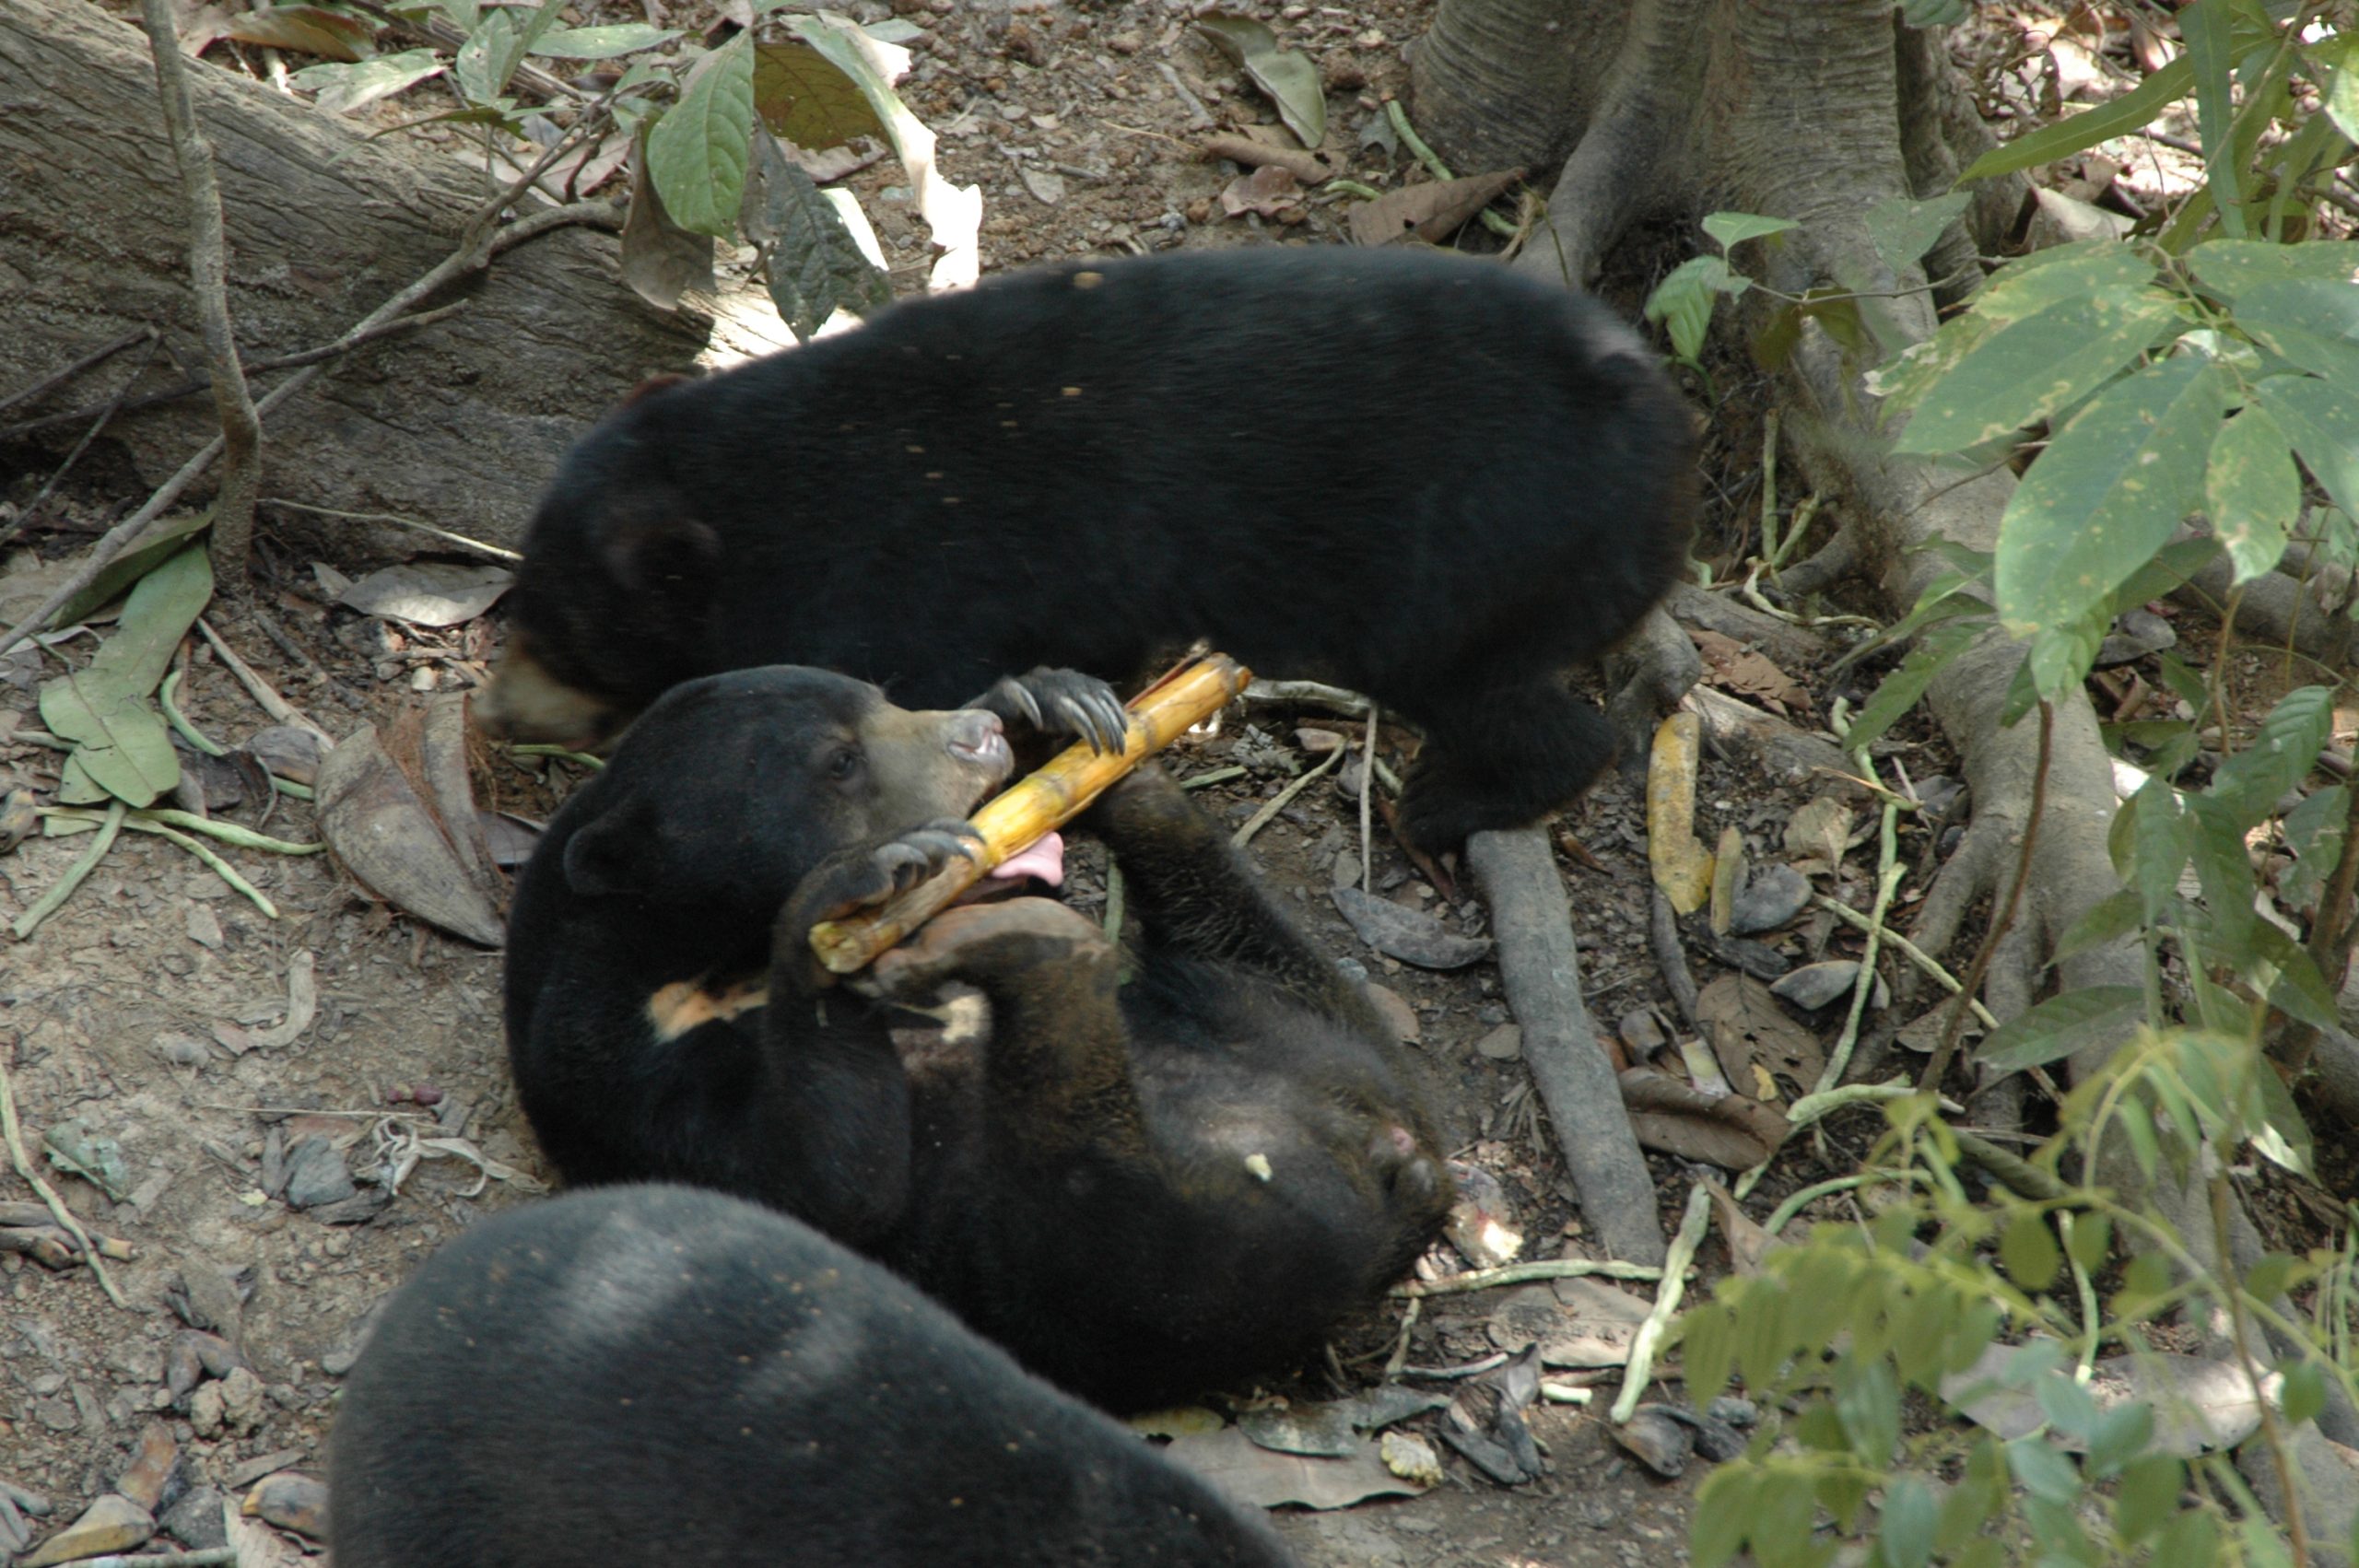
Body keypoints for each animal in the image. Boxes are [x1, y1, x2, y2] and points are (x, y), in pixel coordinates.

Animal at [473, 245, 1695, 852]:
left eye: (561, 634)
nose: (489, 714)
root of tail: (1662, 434)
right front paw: (1072, 697)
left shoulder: (898, 565)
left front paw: (1040, 698)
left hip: (1478, 557)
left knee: (1496, 697)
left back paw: (1450, 802)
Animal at [502, 664, 1454, 1413]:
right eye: (841, 764)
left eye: (883, 695)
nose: (979, 737)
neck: (697, 957)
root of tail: (1394, 1156)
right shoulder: (604, 1064)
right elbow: (822, 1180)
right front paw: (847, 894)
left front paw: (1038, 706)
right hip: (1159, 1274)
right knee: (1100, 1194)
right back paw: (1038, 948)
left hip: (1298, 1004)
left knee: (1215, 906)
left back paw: (1112, 776)